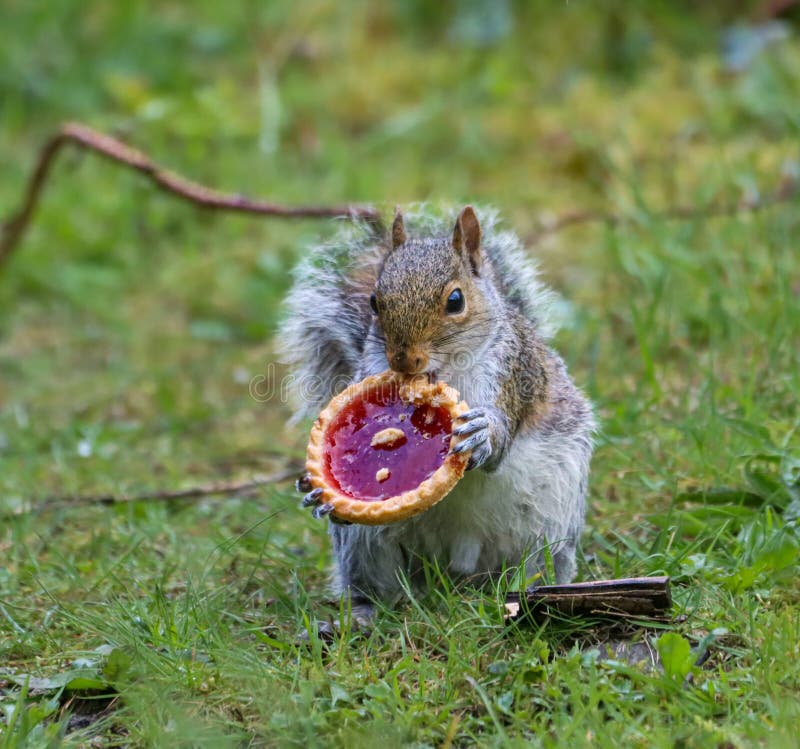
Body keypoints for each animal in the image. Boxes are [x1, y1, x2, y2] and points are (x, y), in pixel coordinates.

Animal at [279, 205, 594, 623]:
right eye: (374, 302)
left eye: (455, 300)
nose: (403, 360)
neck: (446, 371)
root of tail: (457, 579)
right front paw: (317, 494)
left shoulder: (514, 372)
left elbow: (501, 441)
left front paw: (482, 433)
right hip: (365, 546)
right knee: (378, 587)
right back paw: (364, 612)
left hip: (547, 531)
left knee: (536, 565)